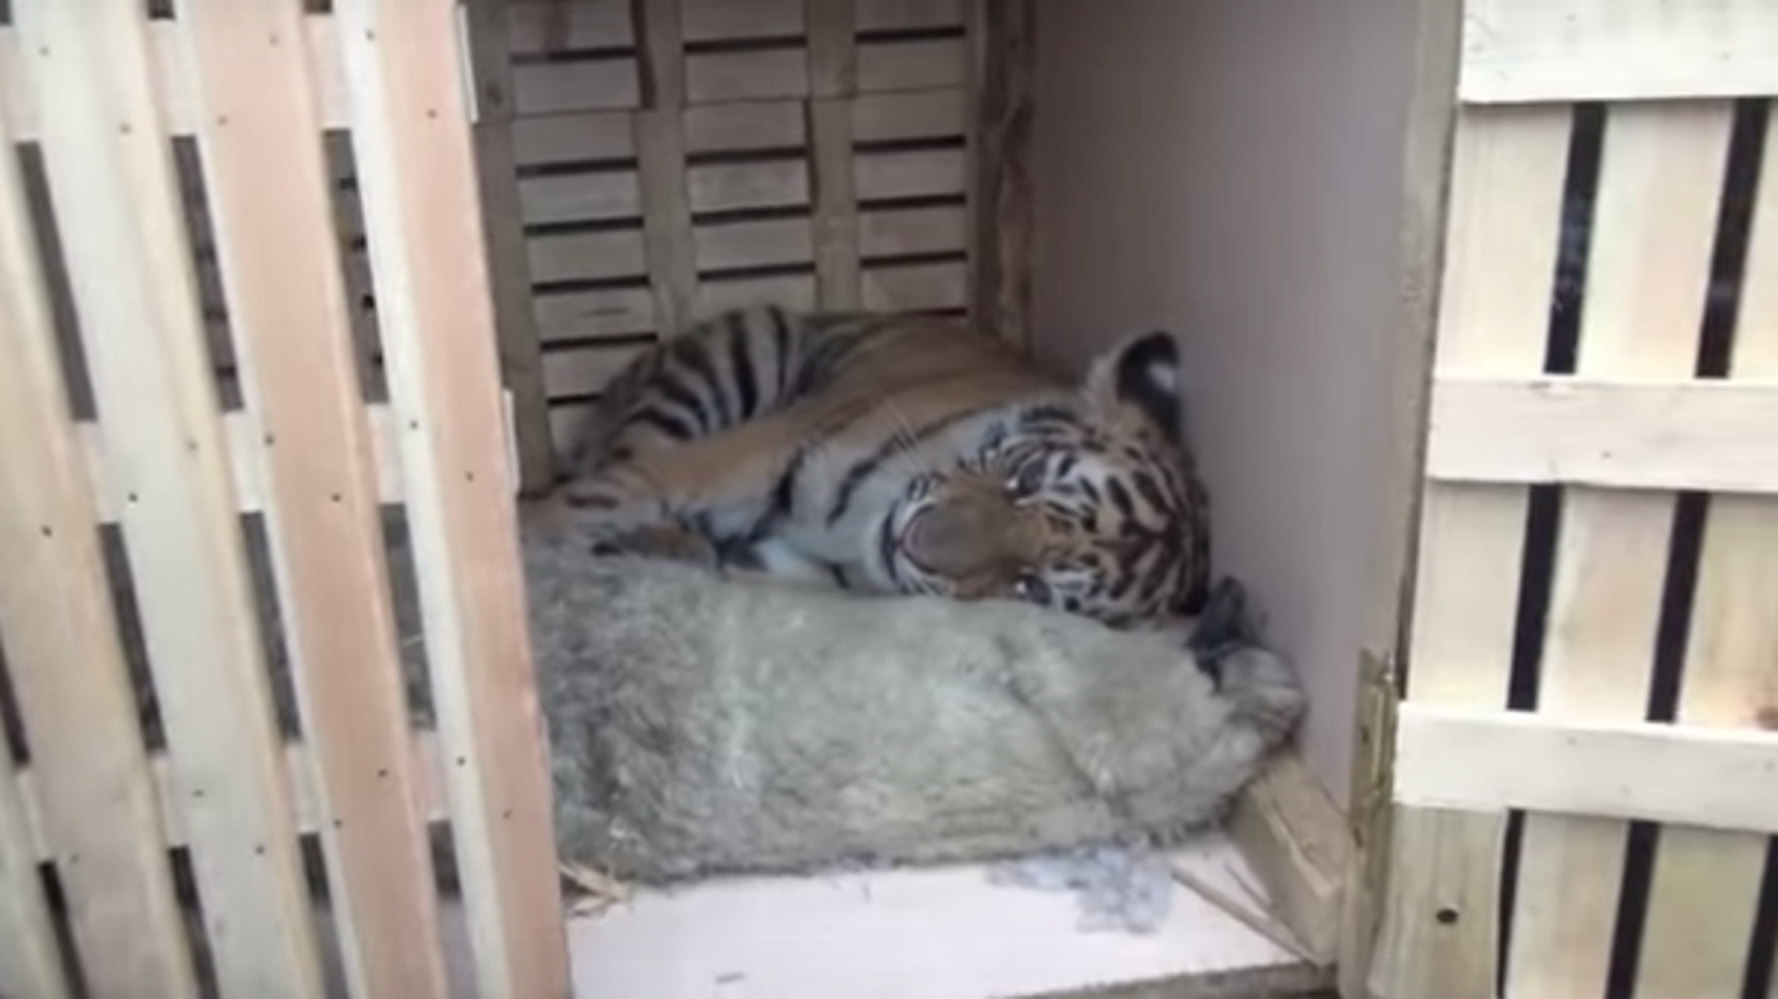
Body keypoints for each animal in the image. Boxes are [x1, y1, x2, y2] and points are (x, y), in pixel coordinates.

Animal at [552, 305, 1212, 630]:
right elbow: (606, 496)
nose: (915, 541)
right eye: (1024, 478)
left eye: (1031, 587)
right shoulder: (762, 447)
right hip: (739, 356)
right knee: (623, 456)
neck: (857, 531)